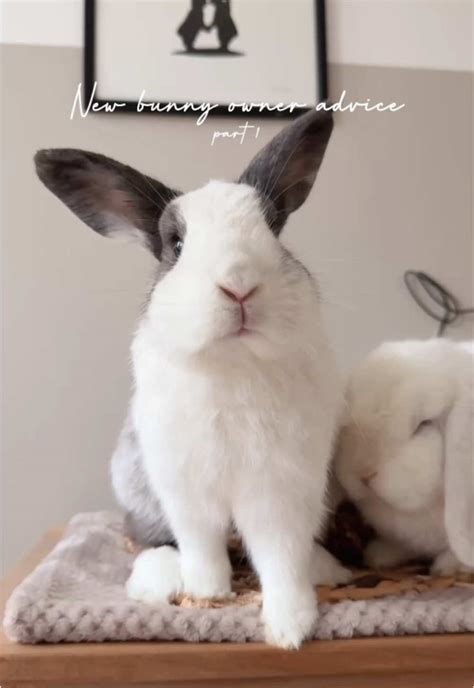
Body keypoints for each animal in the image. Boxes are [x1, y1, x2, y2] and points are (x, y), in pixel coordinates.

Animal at [34, 110, 351, 649]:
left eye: (272, 230)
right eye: (176, 244)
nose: (239, 285)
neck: (233, 362)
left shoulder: (281, 488)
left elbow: (281, 557)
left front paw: (290, 627)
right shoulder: (185, 486)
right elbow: (201, 542)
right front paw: (209, 593)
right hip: (138, 487)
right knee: (150, 538)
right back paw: (161, 579)